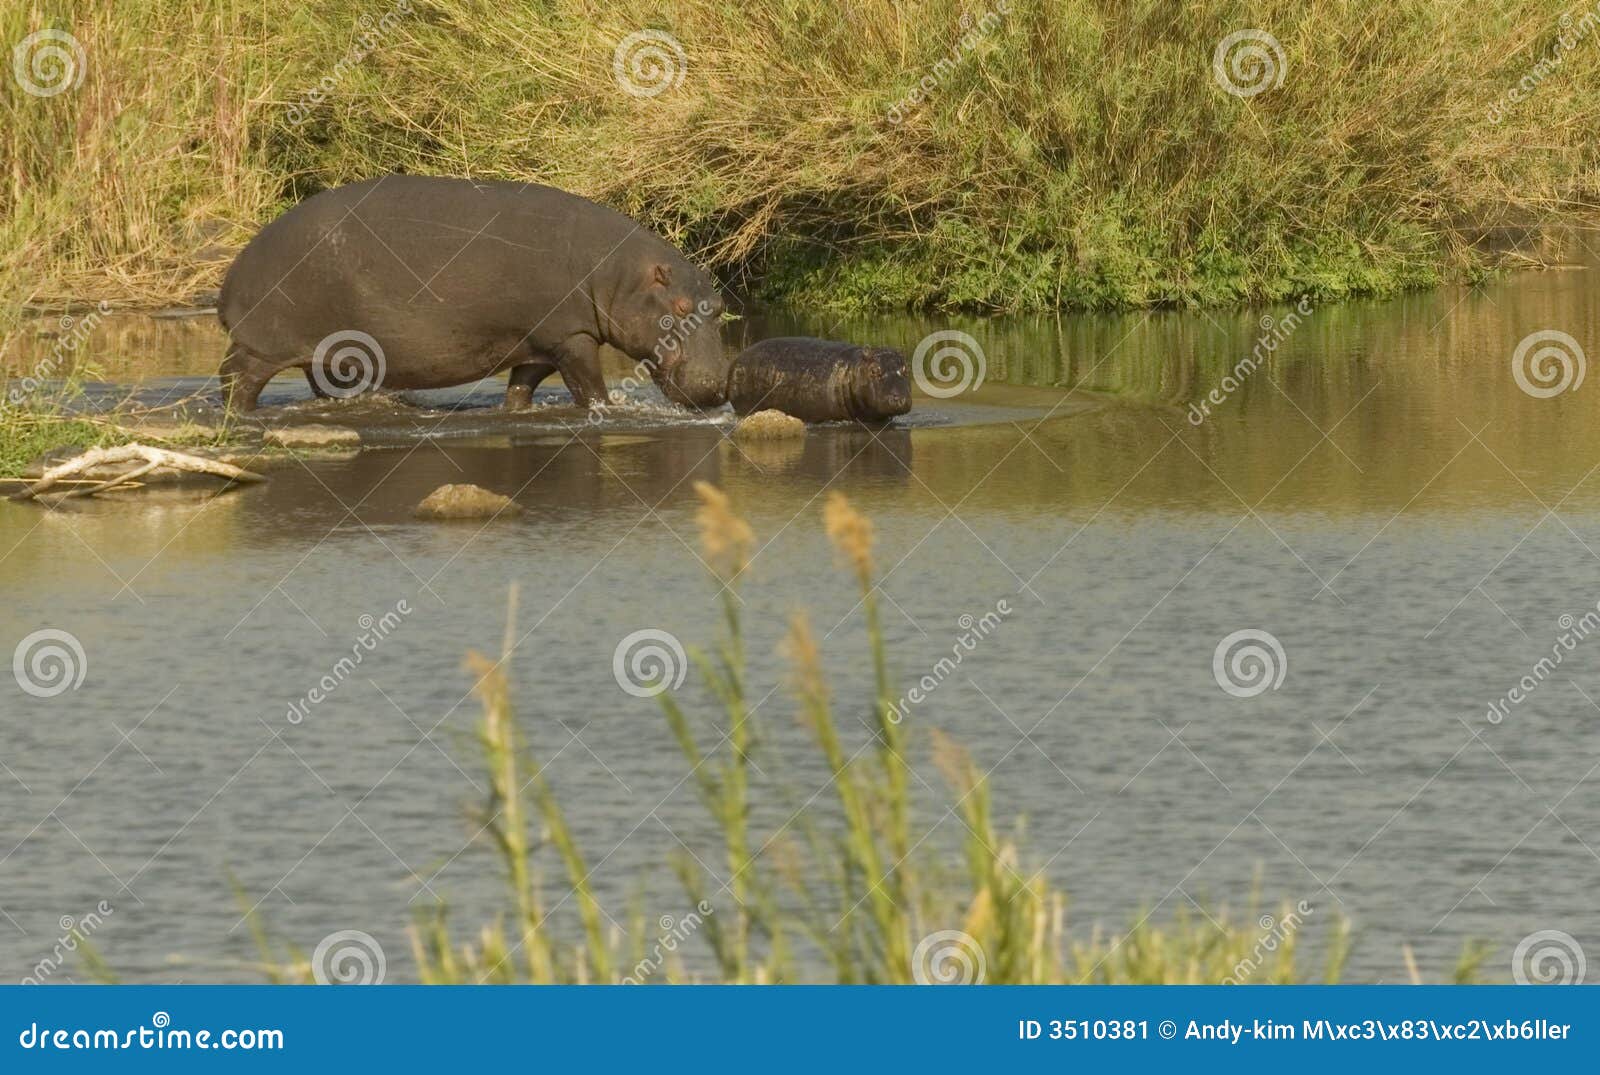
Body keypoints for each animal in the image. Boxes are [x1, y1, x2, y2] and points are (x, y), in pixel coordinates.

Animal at [216, 175, 730, 411]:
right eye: (681, 306)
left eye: (720, 306)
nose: (717, 387)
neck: (617, 275)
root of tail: (232, 276)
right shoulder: (572, 336)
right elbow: (589, 384)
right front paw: (606, 409)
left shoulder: (539, 340)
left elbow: (523, 384)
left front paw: (516, 410)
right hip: (263, 344)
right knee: (235, 377)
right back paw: (240, 413)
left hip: (329, 355)